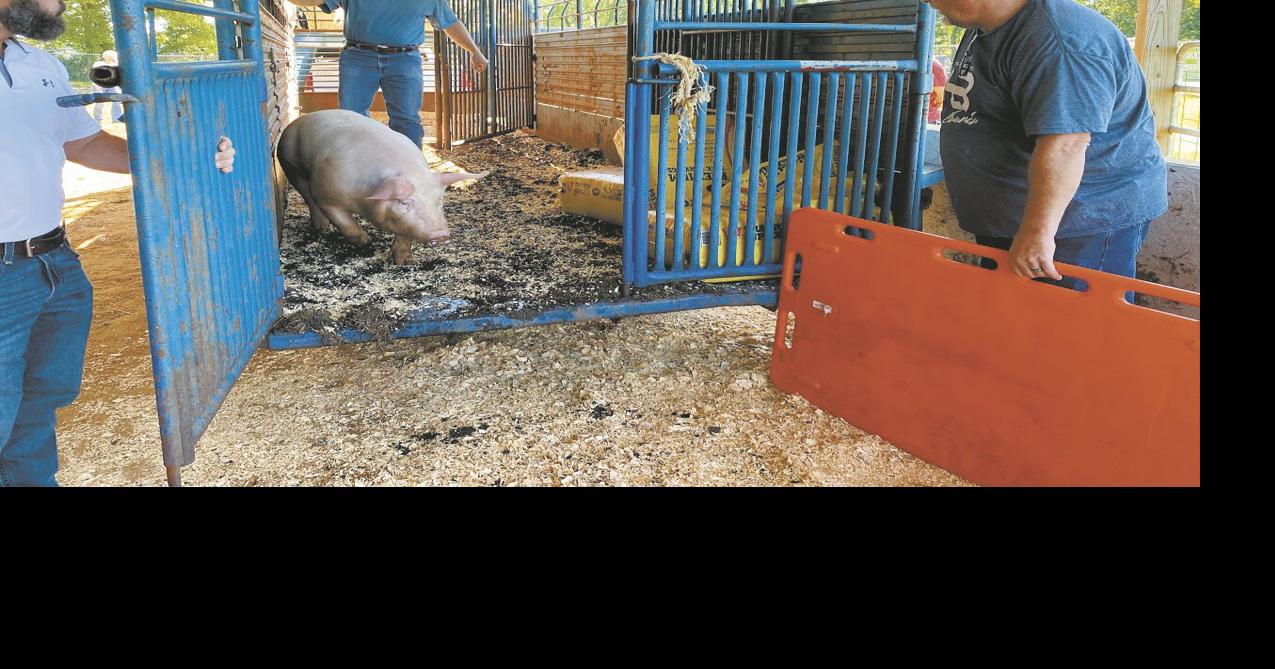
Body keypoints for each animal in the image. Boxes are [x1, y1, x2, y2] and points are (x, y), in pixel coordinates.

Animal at [277, 109, 487, 265]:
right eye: (404, 203)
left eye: (438, 200)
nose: (441, 234)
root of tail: (295, 123)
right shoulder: (326, 193)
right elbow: (344, 221)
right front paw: (366, 241)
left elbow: (404, 233)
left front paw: (404, 262)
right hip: (290, 165)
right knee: (308, 197)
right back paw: (323, 229)